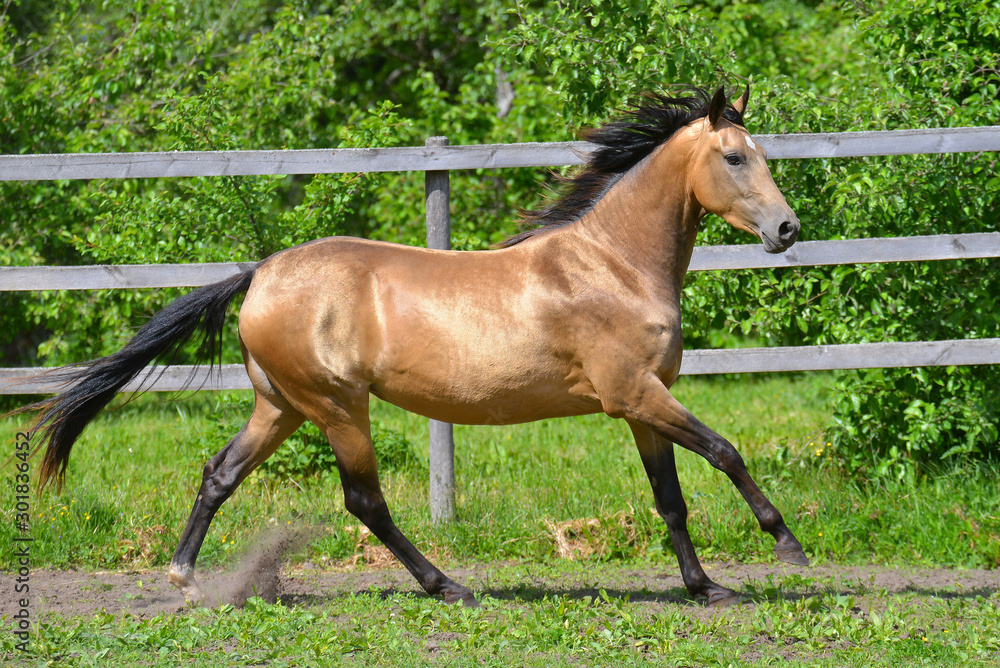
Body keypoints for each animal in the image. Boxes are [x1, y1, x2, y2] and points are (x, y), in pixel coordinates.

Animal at [19, 85, 806, 607]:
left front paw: (706, 587)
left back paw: (184, 578)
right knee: (365, 501)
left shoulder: (643, 404)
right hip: (338, 407)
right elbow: (726, 451)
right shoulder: (634, 393)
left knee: (221, 473)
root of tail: (261, 275)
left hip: (281, 405)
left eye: (760, 153)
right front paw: (787, 546)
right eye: (734, 157)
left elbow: (670, 497)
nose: (787, 229)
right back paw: (447, 585)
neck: (612, 264)